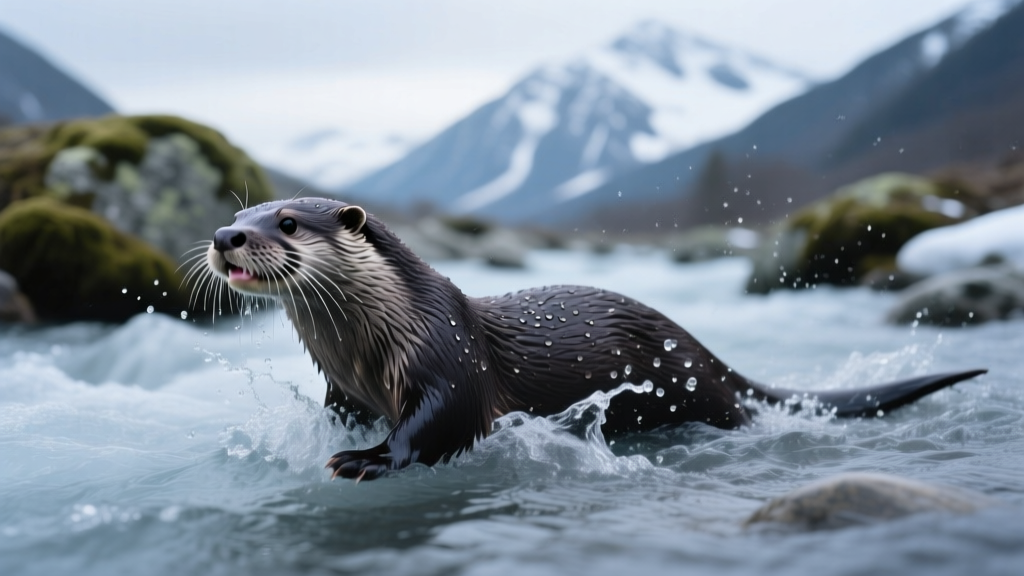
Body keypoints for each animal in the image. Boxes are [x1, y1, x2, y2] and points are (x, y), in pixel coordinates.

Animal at [200, 198, 985, 481]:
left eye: (288, 223)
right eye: (241, 212)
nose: (224, 235)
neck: (375, 343)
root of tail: (706, 351)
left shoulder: (449, 361)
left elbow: (440, 427)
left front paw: (366, 460)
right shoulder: (343, 385)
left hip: (696, 387)